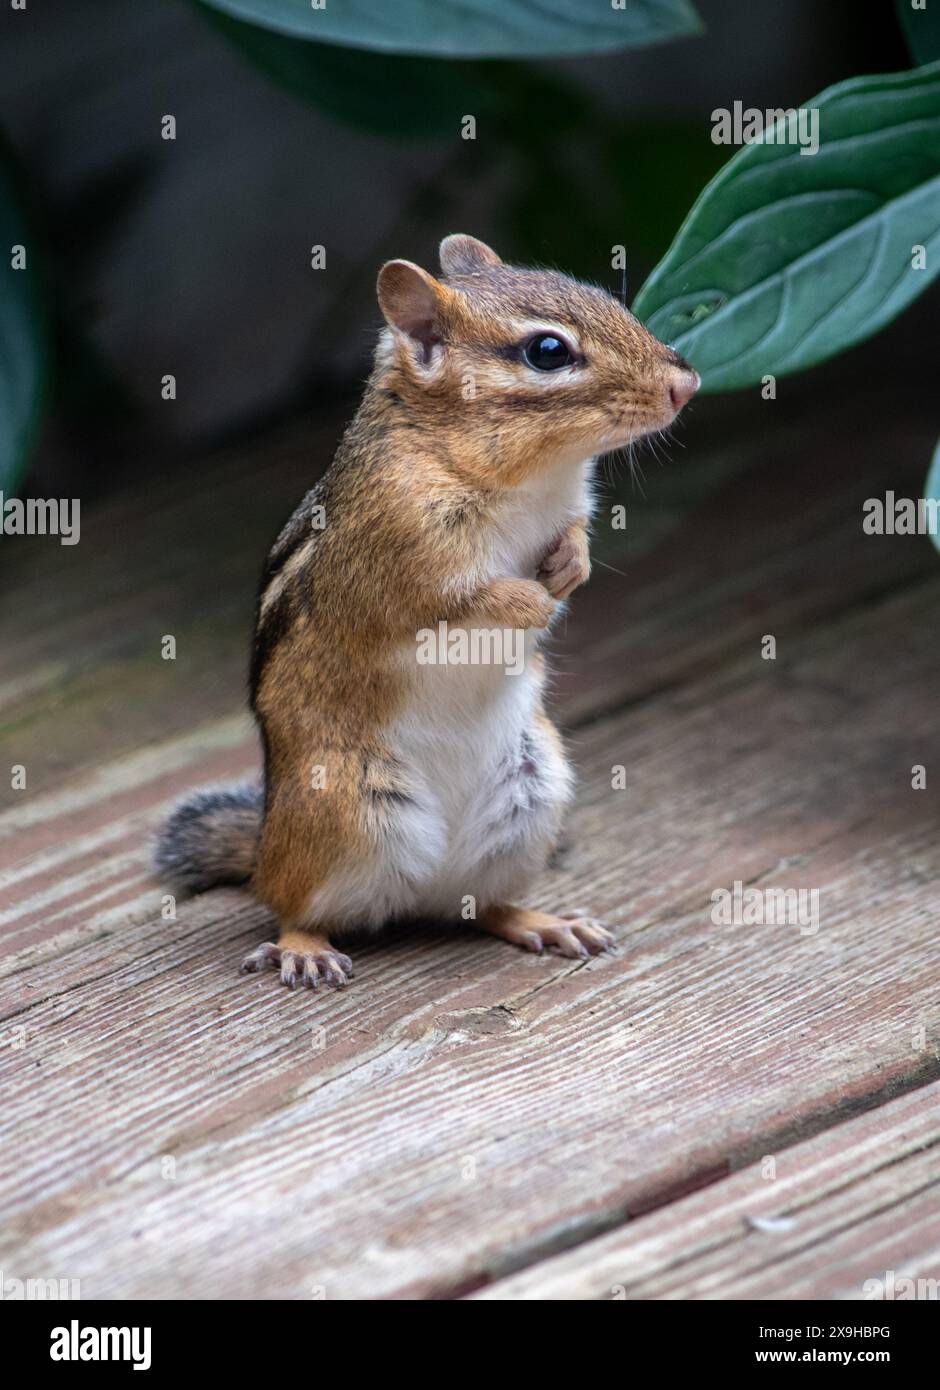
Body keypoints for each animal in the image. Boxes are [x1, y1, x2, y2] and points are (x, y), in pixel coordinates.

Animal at [155, 235, 699, 991]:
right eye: (548, 352)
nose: (686, 385)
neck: (528, 480)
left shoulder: (568, 509)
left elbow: (576, 542)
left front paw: (569, 569)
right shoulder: (396, 562)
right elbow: (454, 603)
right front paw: (532, 602)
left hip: (532, 797)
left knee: (482, 908)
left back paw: (542, 921)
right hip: (339, 810)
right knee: (287, 902)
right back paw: (303, 946)